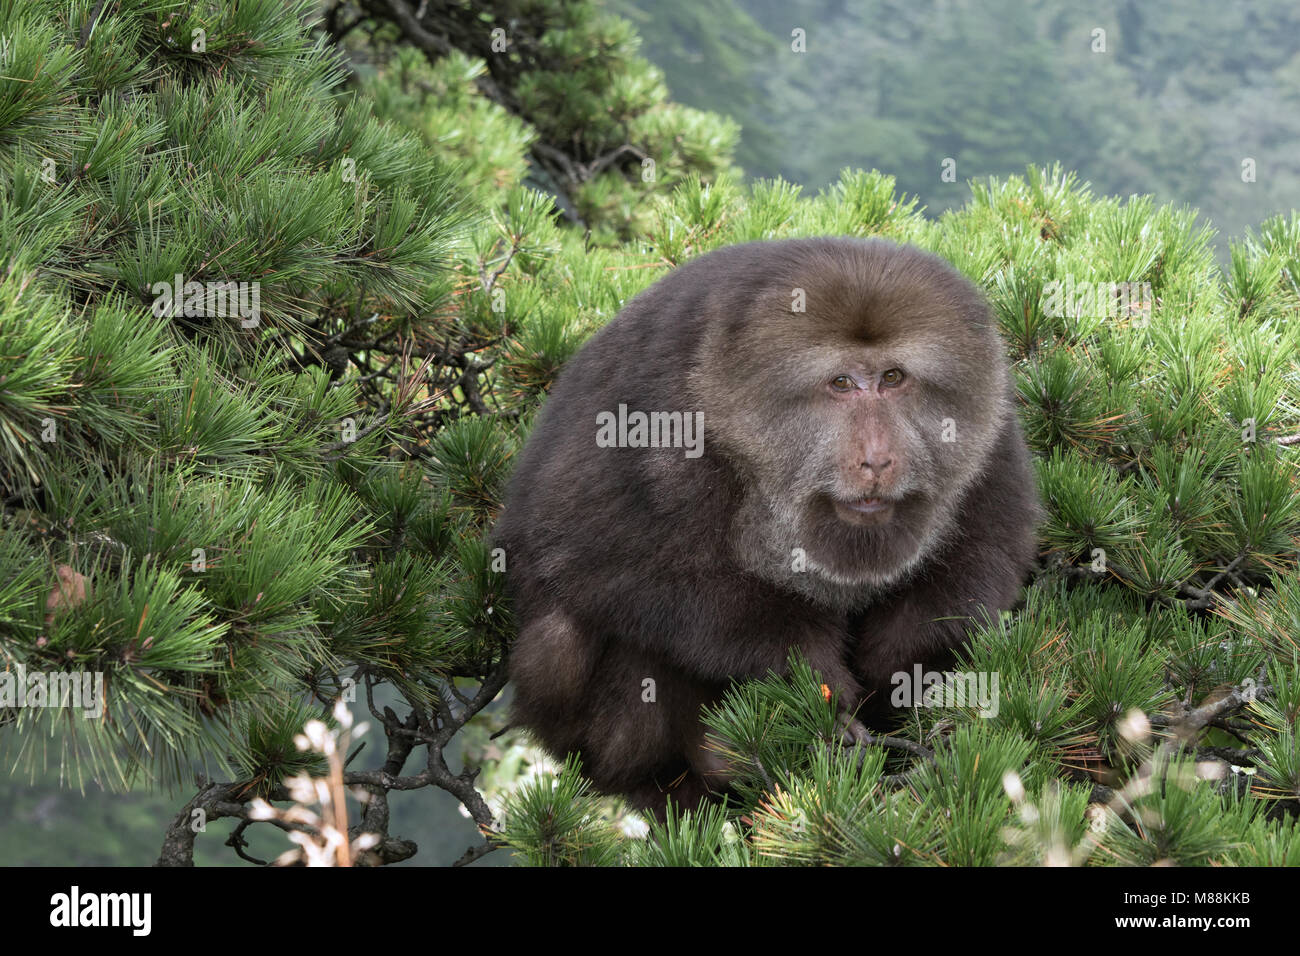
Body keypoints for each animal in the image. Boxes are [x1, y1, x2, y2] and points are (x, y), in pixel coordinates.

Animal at [493, 237, 1041, 816]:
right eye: (841, 383)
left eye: (893, 378)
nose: (876, 458)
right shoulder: (656, 416)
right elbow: (589, 556)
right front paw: (814, 673)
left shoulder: (992, 431)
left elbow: (985, 555)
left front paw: (896, 671)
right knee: (564, 637)